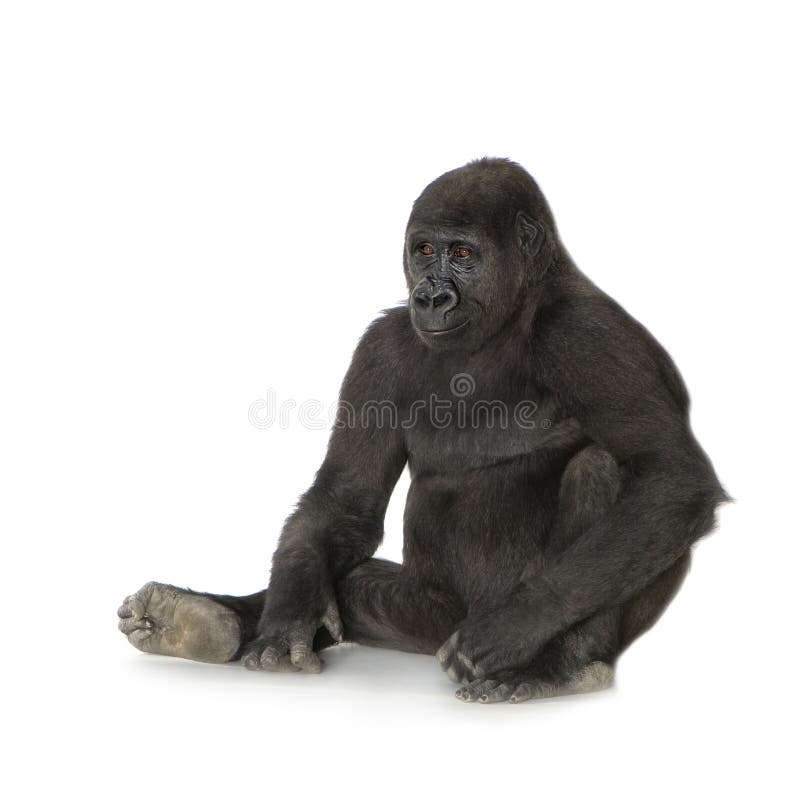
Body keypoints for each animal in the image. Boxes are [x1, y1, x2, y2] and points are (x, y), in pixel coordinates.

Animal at [118, 158, 725, 703]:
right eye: (425, 251)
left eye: (463, 254)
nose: (432, 295)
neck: (513, 310)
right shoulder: (380, 346)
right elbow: (346, 497)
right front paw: (288, 615)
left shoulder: (588, 333)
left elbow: (670, 475)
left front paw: (515, 626)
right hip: (433, 615)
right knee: (357, 588)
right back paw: (200, 622)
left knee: (606, 471)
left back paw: (561, 665)